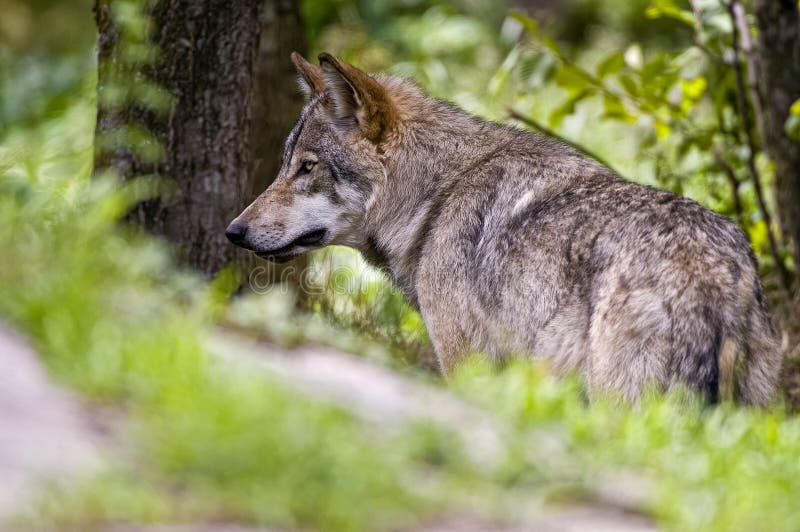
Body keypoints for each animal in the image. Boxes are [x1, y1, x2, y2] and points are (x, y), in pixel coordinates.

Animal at [226, 52, 782, 405]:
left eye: (307, 167)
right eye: (286, 164)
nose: (233, 231)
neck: (435, 196)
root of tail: (713, 273)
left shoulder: (464, 363)